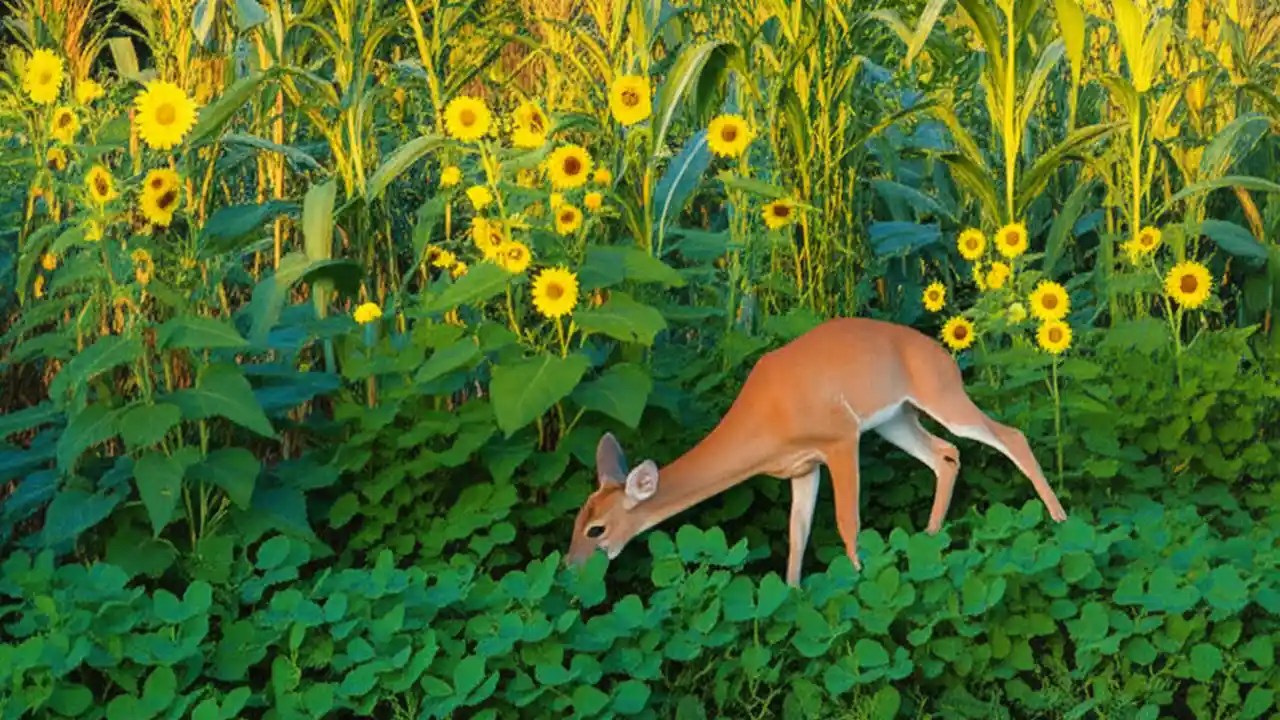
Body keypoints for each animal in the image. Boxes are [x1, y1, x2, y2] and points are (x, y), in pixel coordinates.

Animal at [564, 317, 1069, 586]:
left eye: (595, 529)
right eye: (575, 522)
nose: (569, 566)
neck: (768, 419)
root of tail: (944, 352)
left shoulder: (839, 439)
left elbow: (848, 522)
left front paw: (860, 578)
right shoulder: (801, 469)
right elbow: (797, 534)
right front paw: (792, 592)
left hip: (941, 395)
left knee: (1010, 436)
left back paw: (1061, 518)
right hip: (896, 420)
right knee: (946, 455)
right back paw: (928, 540)